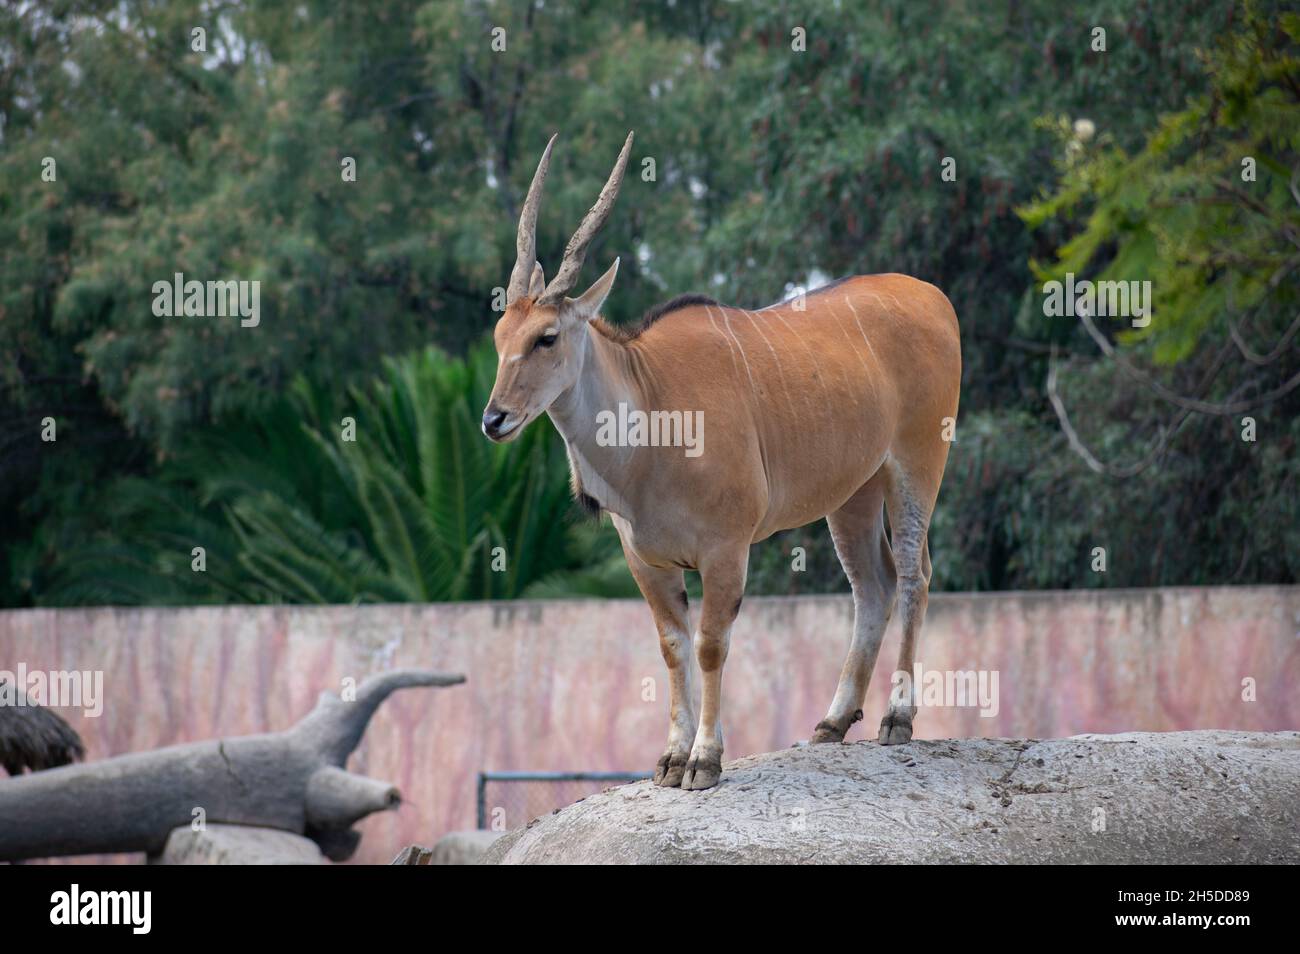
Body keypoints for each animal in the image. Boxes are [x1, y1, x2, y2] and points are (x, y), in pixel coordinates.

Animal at [483, 132, 961, 790]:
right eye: (499, 338)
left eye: (546, 337)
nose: (494, 419)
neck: (653, 408)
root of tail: (933, 296)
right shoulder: (648, 564)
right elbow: (672, 646)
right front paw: (670, 757)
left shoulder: (726, 551)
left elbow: (711, 645)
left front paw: (705, 759)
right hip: (853, 494)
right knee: (874, 584)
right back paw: (833, 722)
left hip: (918, 463)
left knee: (915, 574)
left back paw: (897, 718)